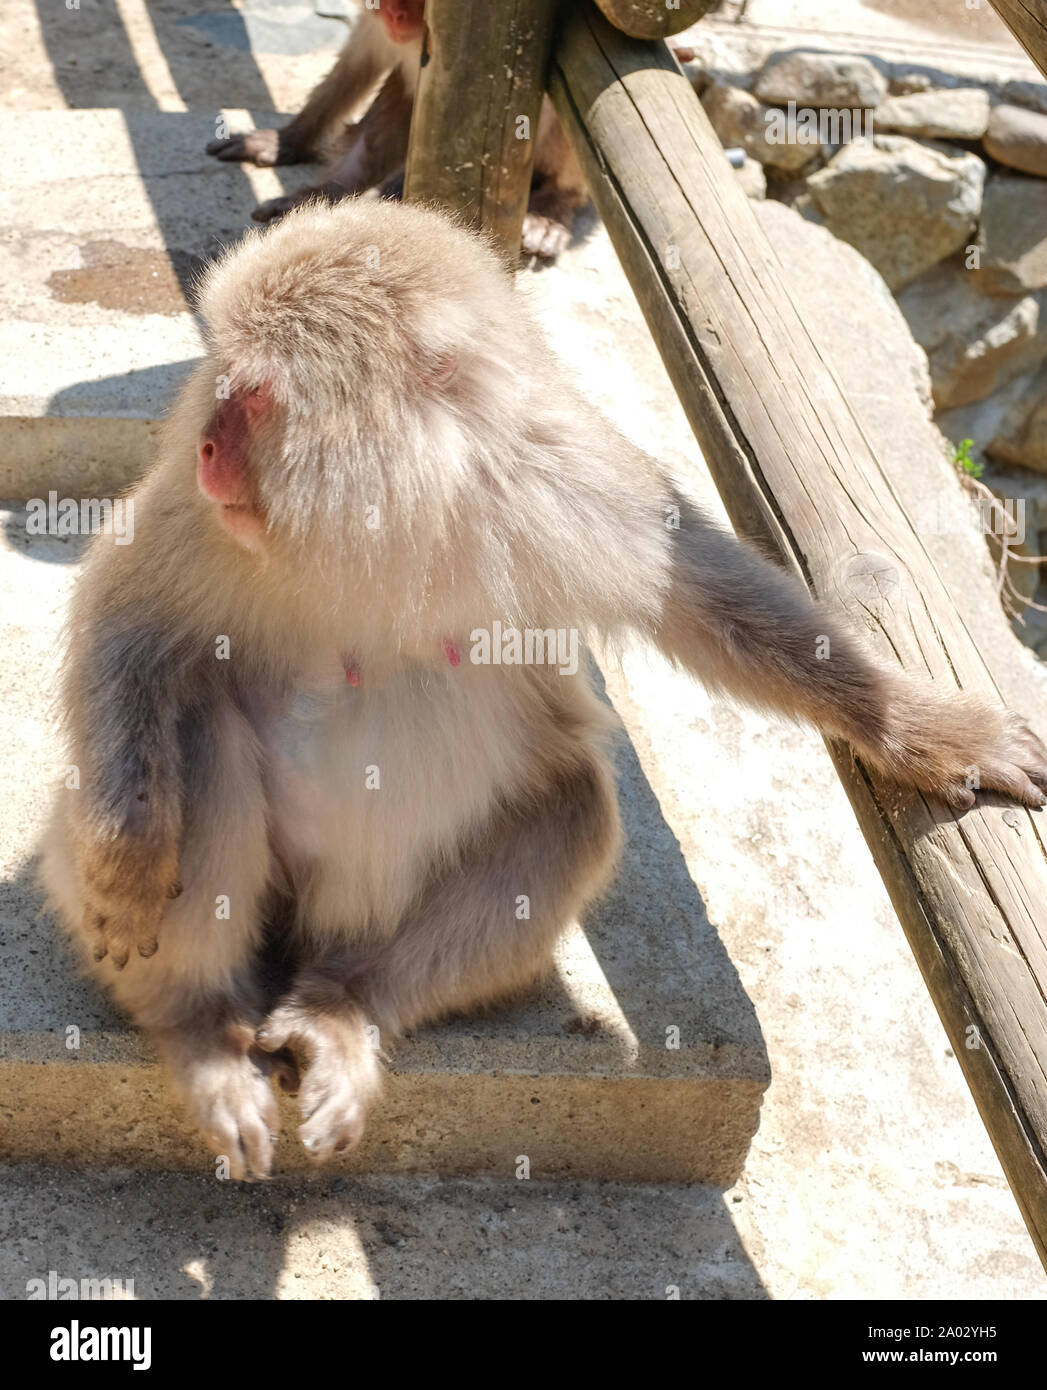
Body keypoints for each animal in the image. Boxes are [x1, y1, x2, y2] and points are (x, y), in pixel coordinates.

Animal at [41, 199, 1047, 1181]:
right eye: (221, 380)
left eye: (253, 392)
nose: (208, 444)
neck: (392, 505)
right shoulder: (203, 518)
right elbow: (130, 623)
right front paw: (132, 854)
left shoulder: (560, 479)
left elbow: (710, 603)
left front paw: (918, 728)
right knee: (198, 726)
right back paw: (203, 1029)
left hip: (354, 908)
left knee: (569, 809)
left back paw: (341, 1007)